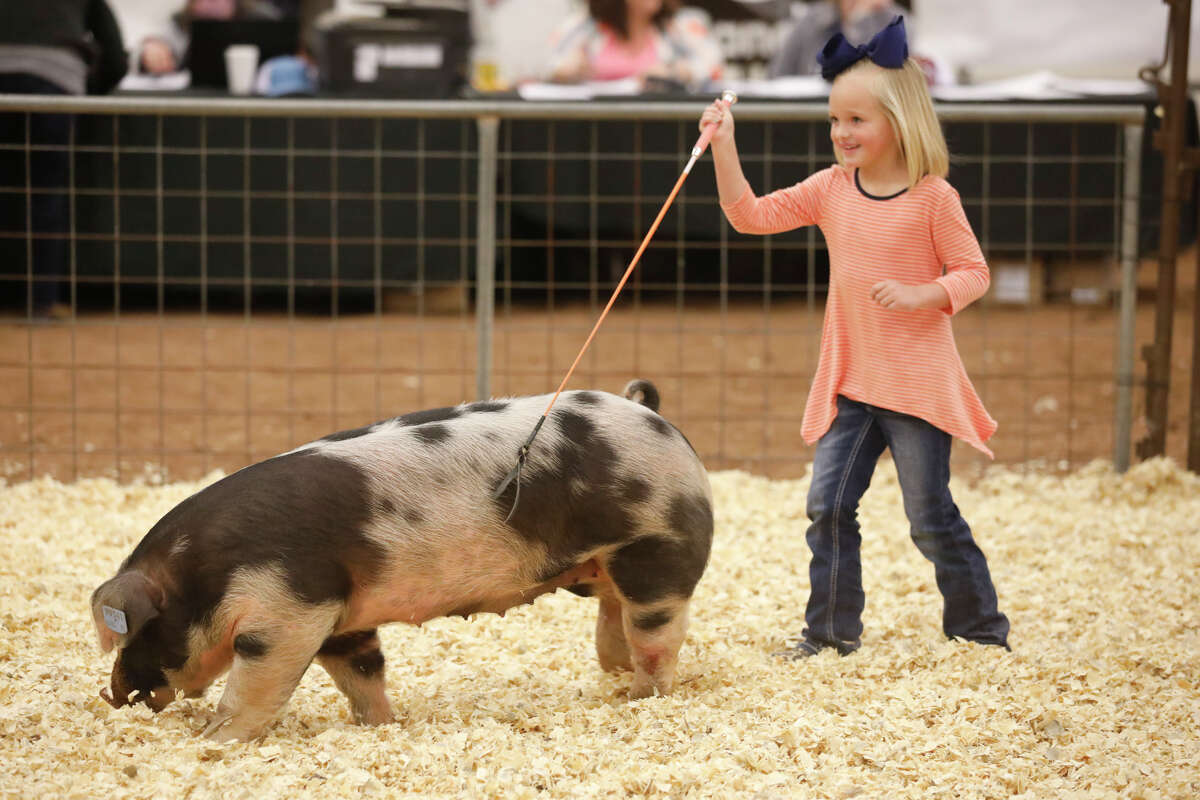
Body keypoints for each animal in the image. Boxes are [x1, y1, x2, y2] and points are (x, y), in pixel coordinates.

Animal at [91, 379, 713, 741]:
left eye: (135, 633)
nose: (111, 693)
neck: (201, 573)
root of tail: (654, 418)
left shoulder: (288, 607)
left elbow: (256, 684)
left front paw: (213, 743)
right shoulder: (342, 616)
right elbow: (362, 673)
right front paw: (382, 727)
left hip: (655, 546)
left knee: (657, 629)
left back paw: (640, 697)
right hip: (595, 567)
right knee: (614, 614)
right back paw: (614, 671)